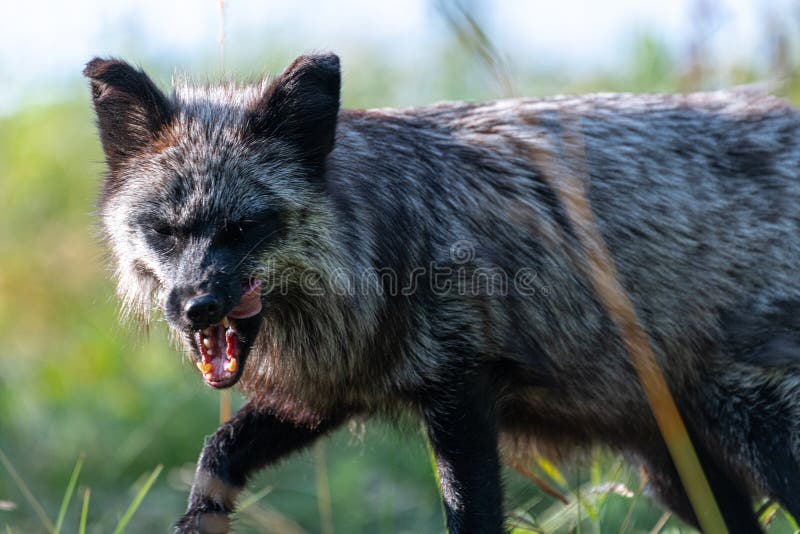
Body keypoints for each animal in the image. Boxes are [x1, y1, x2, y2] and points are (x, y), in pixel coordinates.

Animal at [84, 52, 800, 533]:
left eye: (245, 227)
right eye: (165, 230)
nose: (196, 306)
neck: (379, 256)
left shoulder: (461, 385)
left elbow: (469, 514)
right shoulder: (331, 389)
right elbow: (218, 452)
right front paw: (200, 517)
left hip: (761, 429)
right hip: (677, 469)